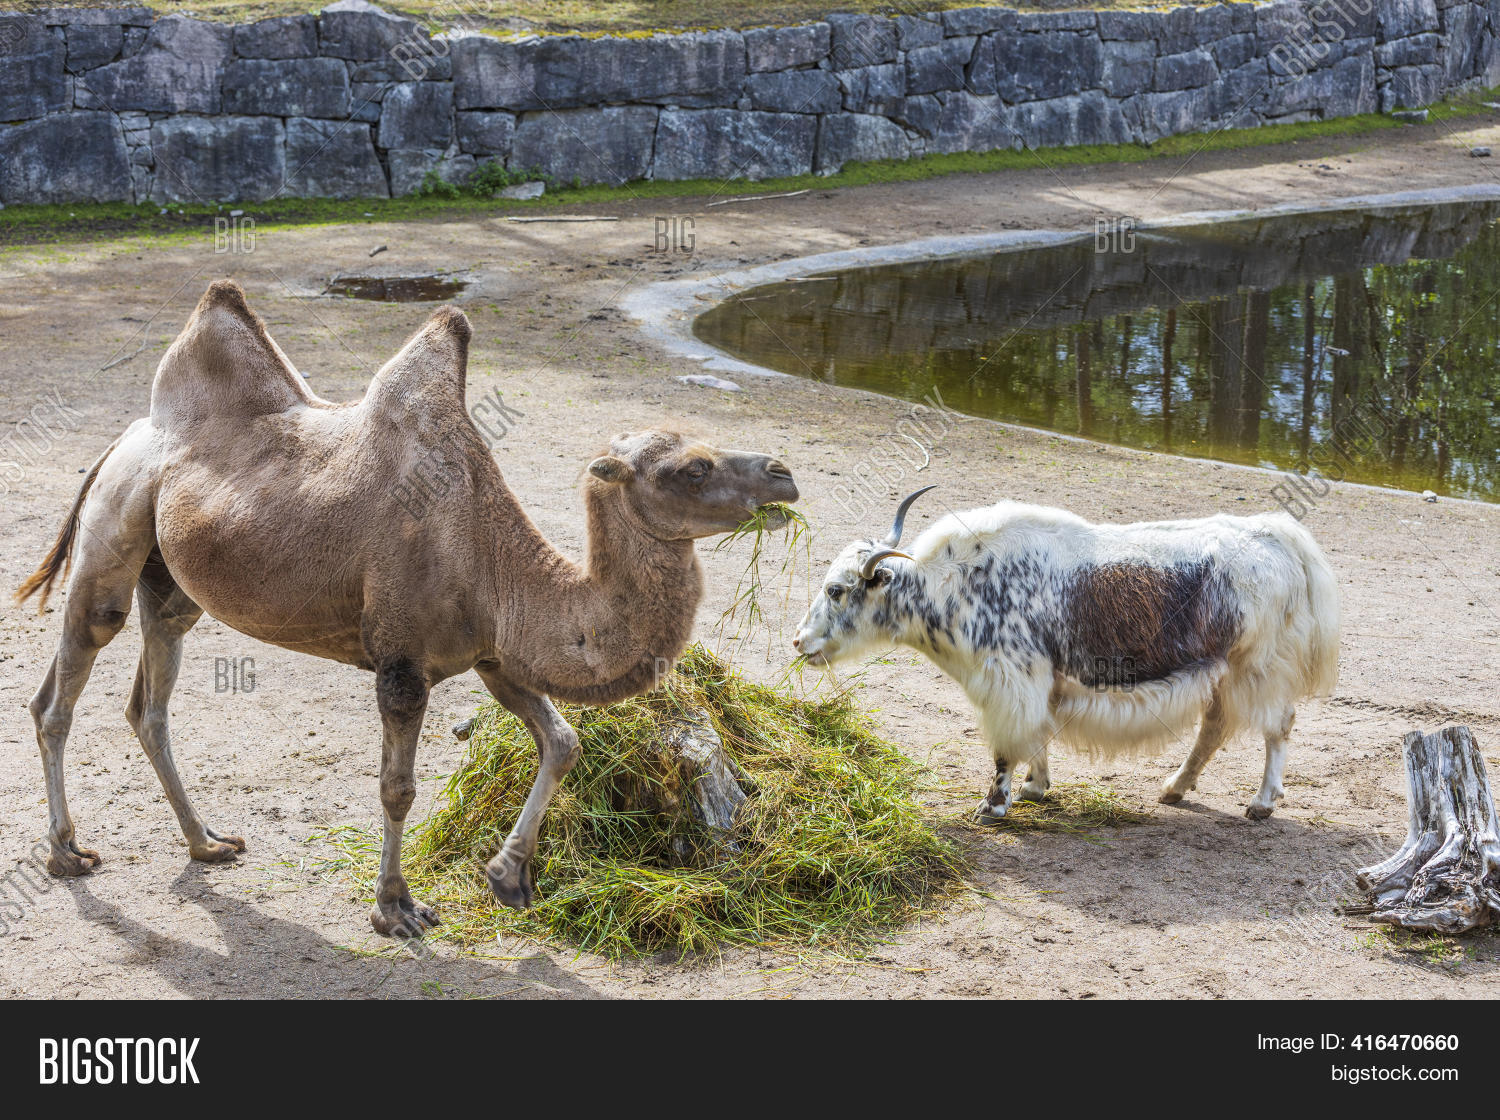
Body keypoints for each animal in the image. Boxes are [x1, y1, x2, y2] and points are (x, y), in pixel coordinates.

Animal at [16, 280, 798, 937]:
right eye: (689, 468)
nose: (783, 473)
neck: (490, 552)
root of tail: (126, 436)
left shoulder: (493, 655)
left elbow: (564, 741)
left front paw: (507, 877)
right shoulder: (401, 663)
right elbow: (398, 788)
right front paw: (395, 908)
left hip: (171, 577)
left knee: (150, 700)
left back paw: (206, 843)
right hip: (113, 532)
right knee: (62, 687)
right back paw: (67, 853)